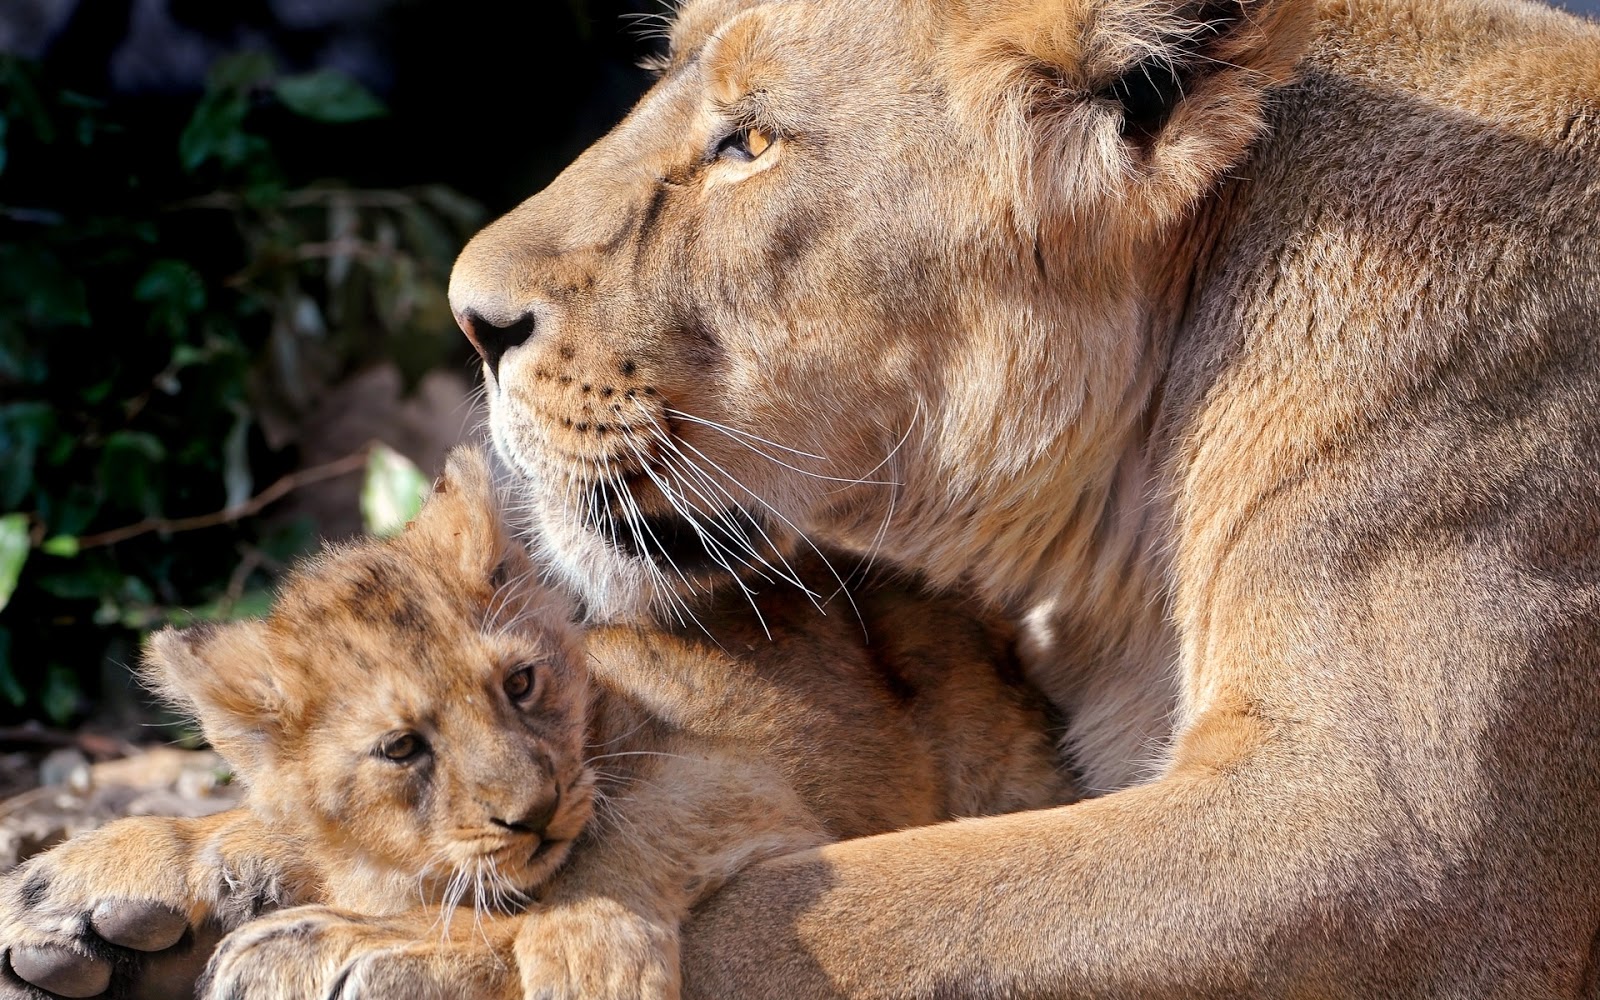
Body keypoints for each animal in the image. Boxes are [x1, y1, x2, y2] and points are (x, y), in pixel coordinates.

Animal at [0, 447, 1070, 1000]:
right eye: (402, 748)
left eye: (519, 685)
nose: (534, 810)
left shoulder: (732, 772)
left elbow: (604, 856)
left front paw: (586, 958)